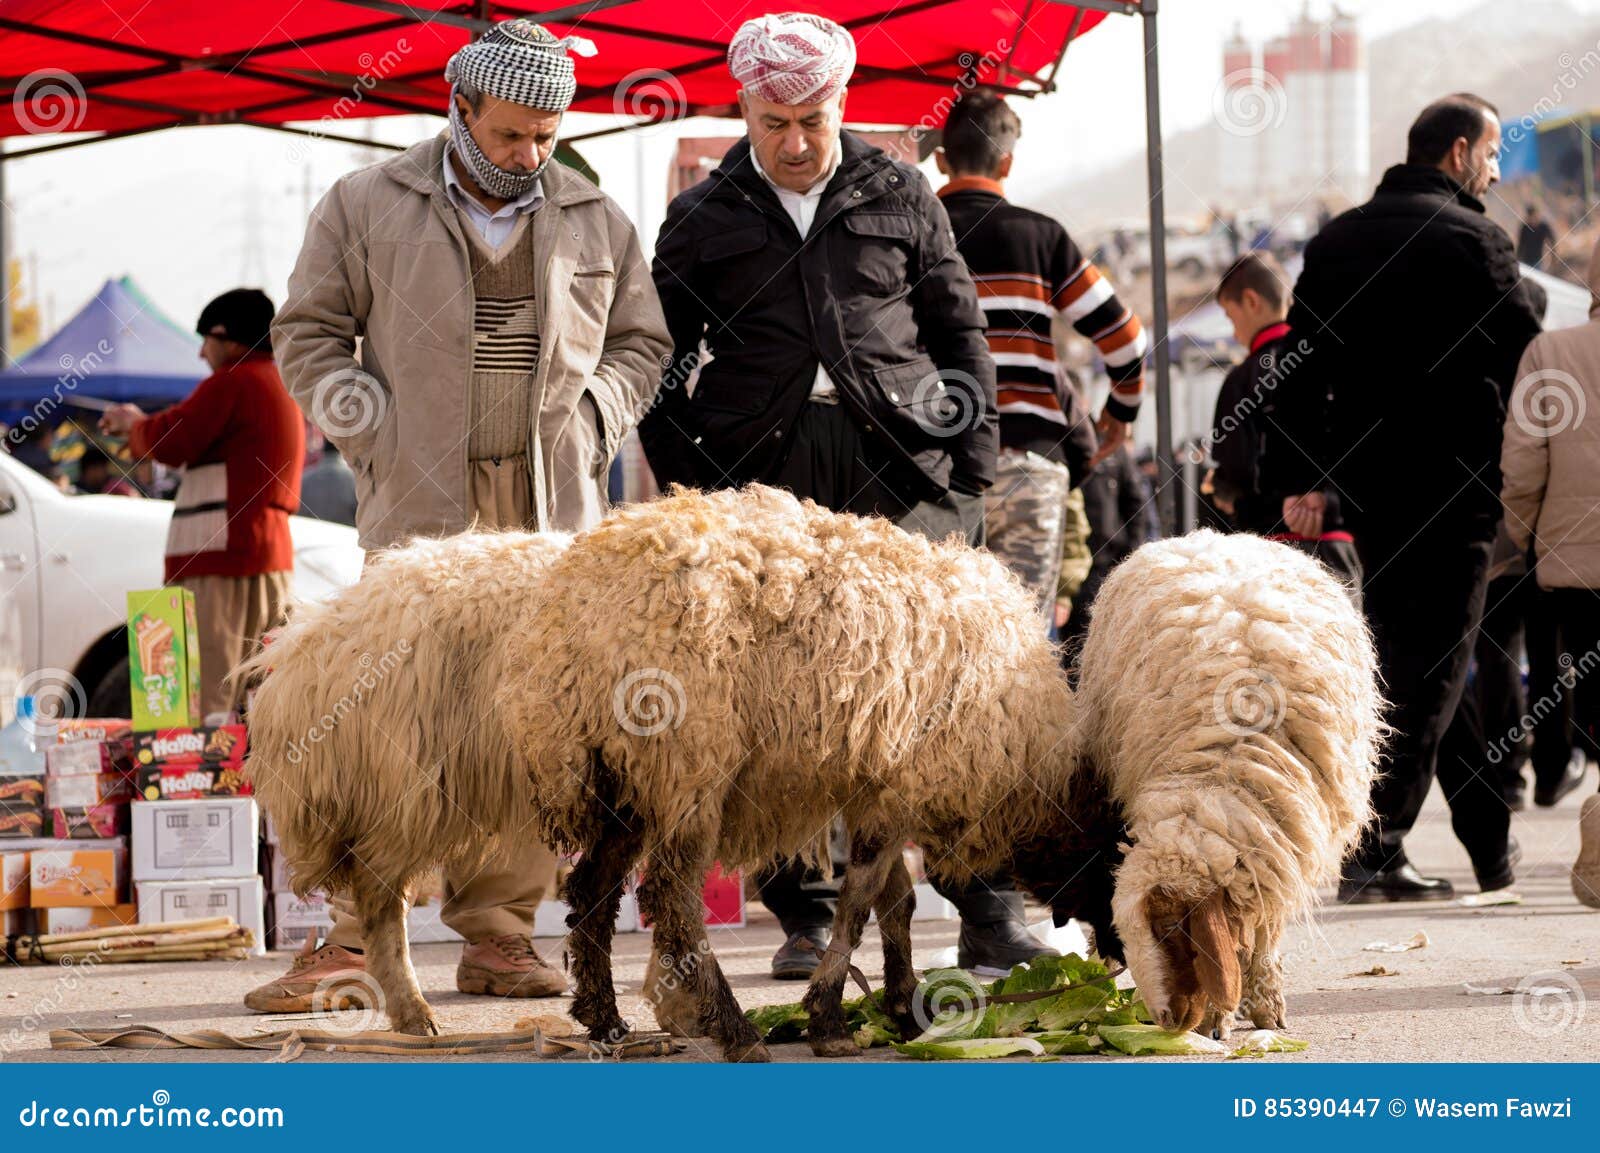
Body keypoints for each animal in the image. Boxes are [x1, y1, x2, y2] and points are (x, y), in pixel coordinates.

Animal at [495, 484, 1119, 1062]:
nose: (1118, 957)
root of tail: (569, 619)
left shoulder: (877, 788)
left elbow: (896, 901)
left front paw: (902, 1009)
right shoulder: (901, 788)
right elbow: (857, 904)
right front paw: (830, 1020)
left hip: (624, 780)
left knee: (592, 891)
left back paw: (605, 1021)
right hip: (687, 761)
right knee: (673, 897)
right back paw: (735, 1030)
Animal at [1073, 529, 1382, 1039]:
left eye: (1172, 928)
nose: (1166, 1020)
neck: (1221, 770)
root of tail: (1211, 537)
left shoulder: (1283, 840)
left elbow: (1264, 926)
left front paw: (1263, 1005)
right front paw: (1223, 1015)